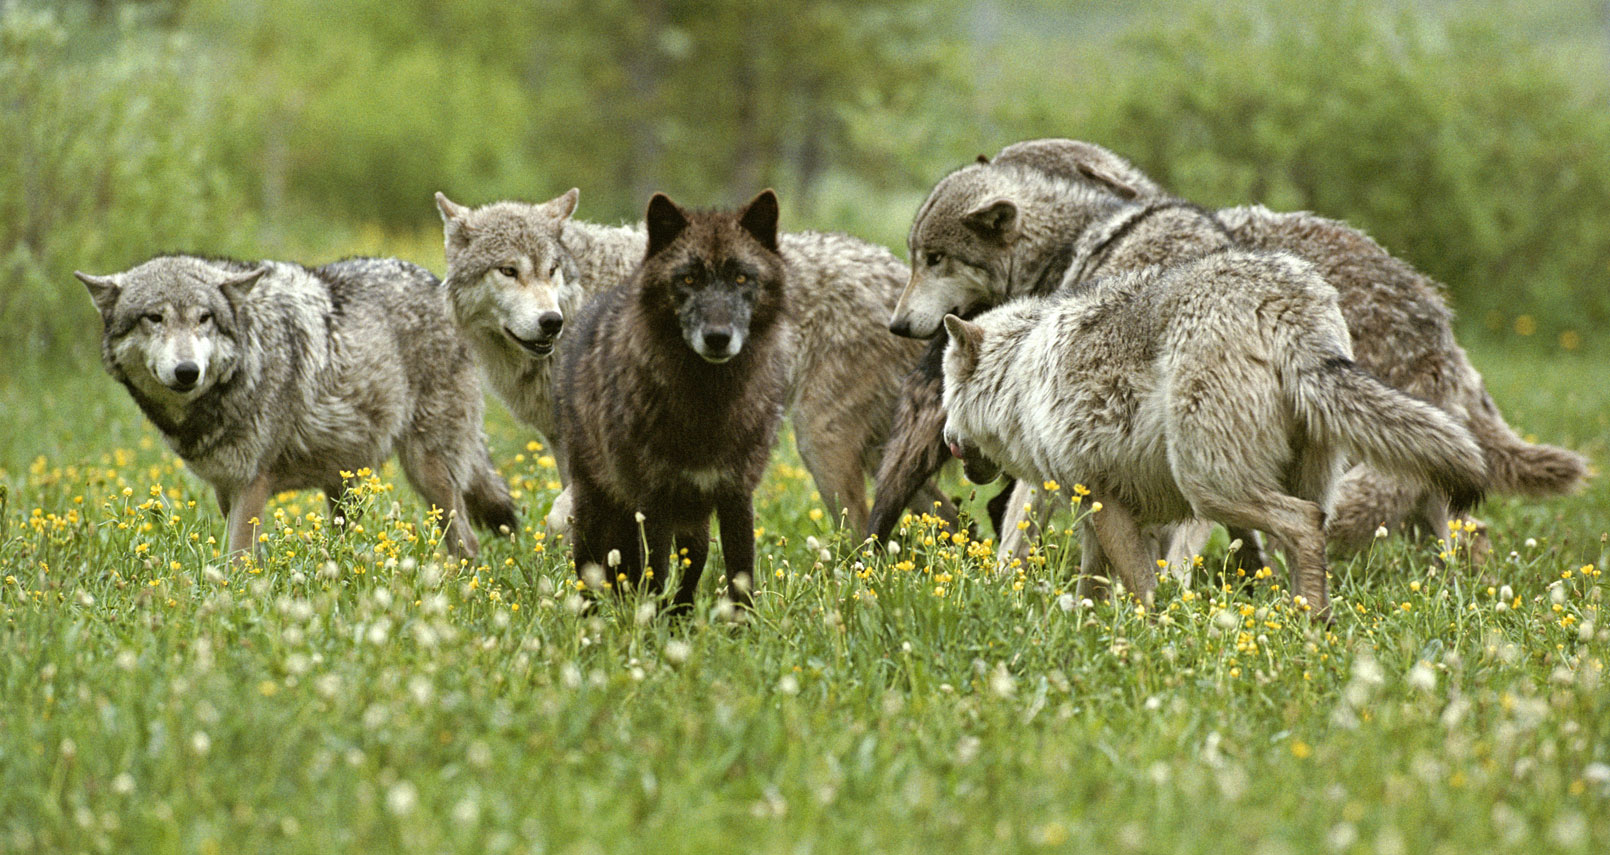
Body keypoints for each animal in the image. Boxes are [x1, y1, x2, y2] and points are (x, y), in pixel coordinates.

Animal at [75, 255, 518, 558]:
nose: (187, 372)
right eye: (154, 318)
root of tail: (438, 283)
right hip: (344, 487)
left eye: (204, 319)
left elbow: (236, 559)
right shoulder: (225, 489)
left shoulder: (252, 484)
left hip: (429, 475)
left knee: (468, 543)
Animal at [435, 189, 945, 535]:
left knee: (862, 528)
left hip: (821, 446)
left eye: (552, 270)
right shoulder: (568, 442)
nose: (550, 322)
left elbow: (563, 514)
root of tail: (905, 289)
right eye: (508, 271)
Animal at [557, 190, 790, 609]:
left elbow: (741, 575)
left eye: (742, 277)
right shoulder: (654, 502)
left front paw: (744, 626)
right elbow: (654, 574)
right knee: (591, 568)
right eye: (688, 279)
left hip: (691, 523)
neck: (708, 403)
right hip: (597, 504)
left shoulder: (736, 496)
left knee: (690, 566)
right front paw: (647, 624)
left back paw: (679, 614)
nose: (717, 338)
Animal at [876, 138, 1585, 559]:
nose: (898, 326)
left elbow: (1025, 522)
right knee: (1466, 528)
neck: (1082, 238)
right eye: (914, 257)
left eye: (932, 259)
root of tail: (1440, 321)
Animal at [939, 251, 1487, 621]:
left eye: (946, 395)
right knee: (1308, 537)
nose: (945, 438)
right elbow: (1095, 584)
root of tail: (1282, 305)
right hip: (1276, 484)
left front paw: (1149, 633)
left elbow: (1142, 587)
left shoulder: (1107, 504)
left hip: (1208, 489)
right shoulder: (1100, 512)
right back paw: (1310, 628)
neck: (1020, 372)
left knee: (1304, 522)